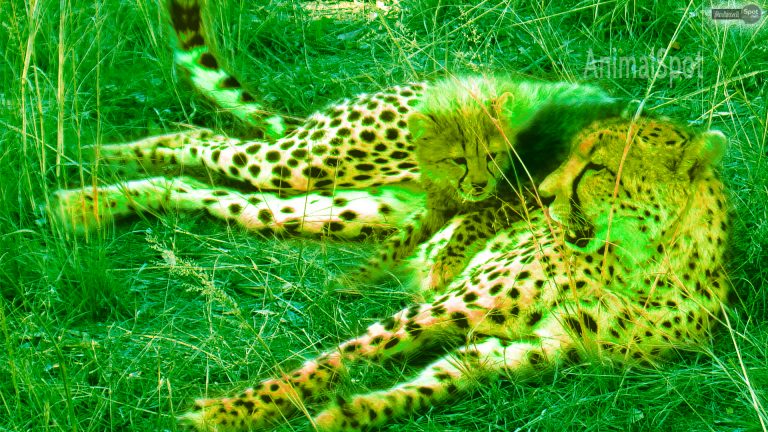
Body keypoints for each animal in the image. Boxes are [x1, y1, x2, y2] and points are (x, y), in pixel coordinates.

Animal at [177, 116, 731, 431]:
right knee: (223, 156)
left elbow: (441, 377)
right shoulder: (449, 304)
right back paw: (156, 154)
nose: (542, 193)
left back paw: (154, 189)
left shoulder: (545, 350)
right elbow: (335, 360)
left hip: (344, 210)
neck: (639, 263)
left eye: (597, 167)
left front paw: (353, 412)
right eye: (575, 154)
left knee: (231, 200)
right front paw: (233, 411)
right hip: (305, 170)